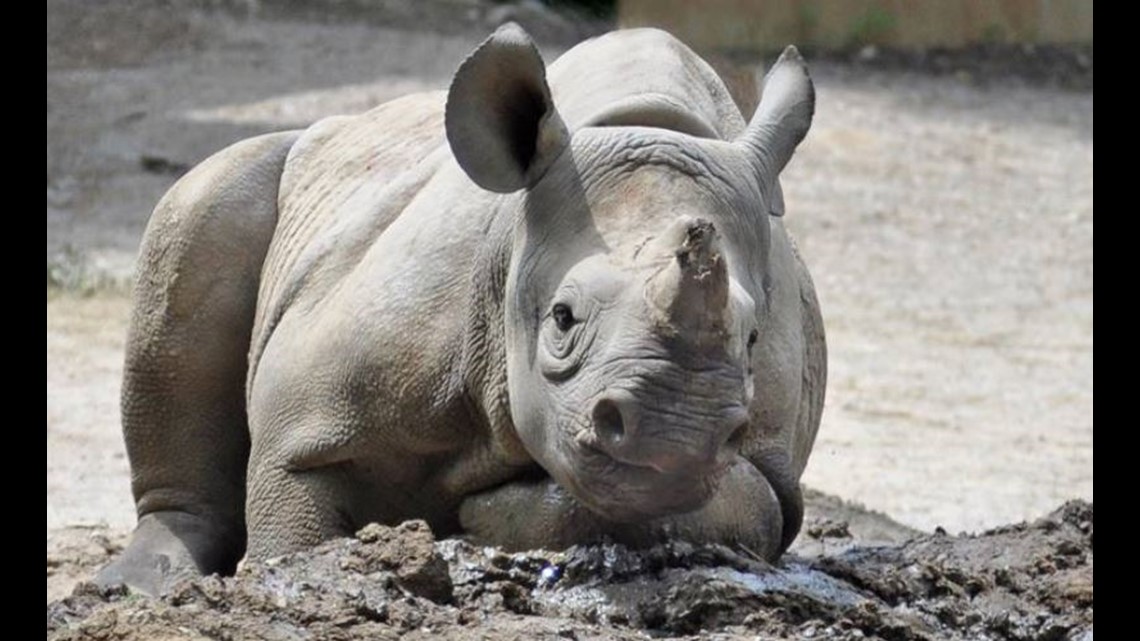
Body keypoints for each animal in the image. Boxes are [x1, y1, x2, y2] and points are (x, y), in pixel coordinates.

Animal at [97, 23, 826, 595]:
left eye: (752, 339)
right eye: (562, 319)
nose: (672, 436)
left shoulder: (767, 473)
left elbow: (730, 505)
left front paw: (486, 515)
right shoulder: (304, 432)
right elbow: (293, 527)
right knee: (198, 206)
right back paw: (142, 586)